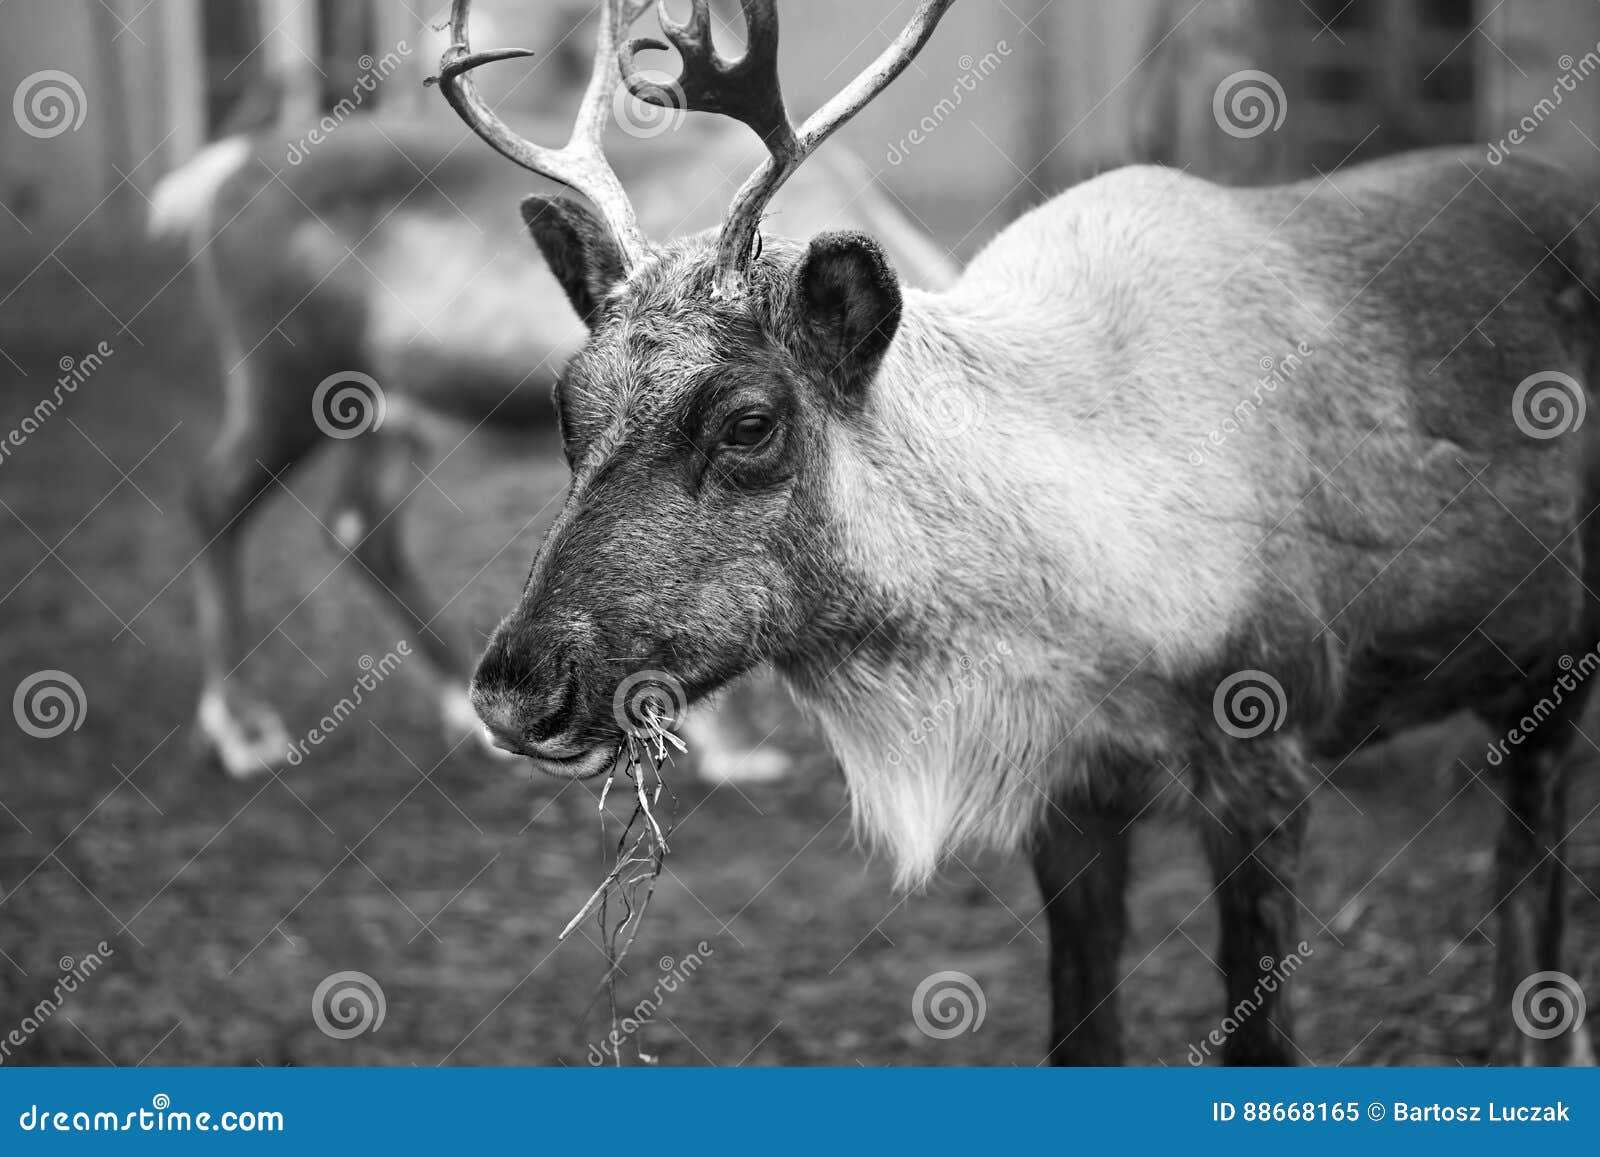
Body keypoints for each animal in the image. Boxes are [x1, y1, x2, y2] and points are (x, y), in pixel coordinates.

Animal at [147, 16, 956, 784]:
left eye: (748, 425)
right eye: (564, 402)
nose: (516, 701)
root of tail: (216, 174)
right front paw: (734, 751)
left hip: (375, 407)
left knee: (359, 525)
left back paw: (452, 707)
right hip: (282, 375)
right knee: (214, 496)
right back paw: (242, 728)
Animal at [444, 0, 1598, 1065]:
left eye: (749, 422)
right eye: (567, 406)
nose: (514, 688)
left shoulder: (1265, 756)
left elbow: (1260, 1038)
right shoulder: (1069, 789)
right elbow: (1079, 1037)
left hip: (1557, 666)